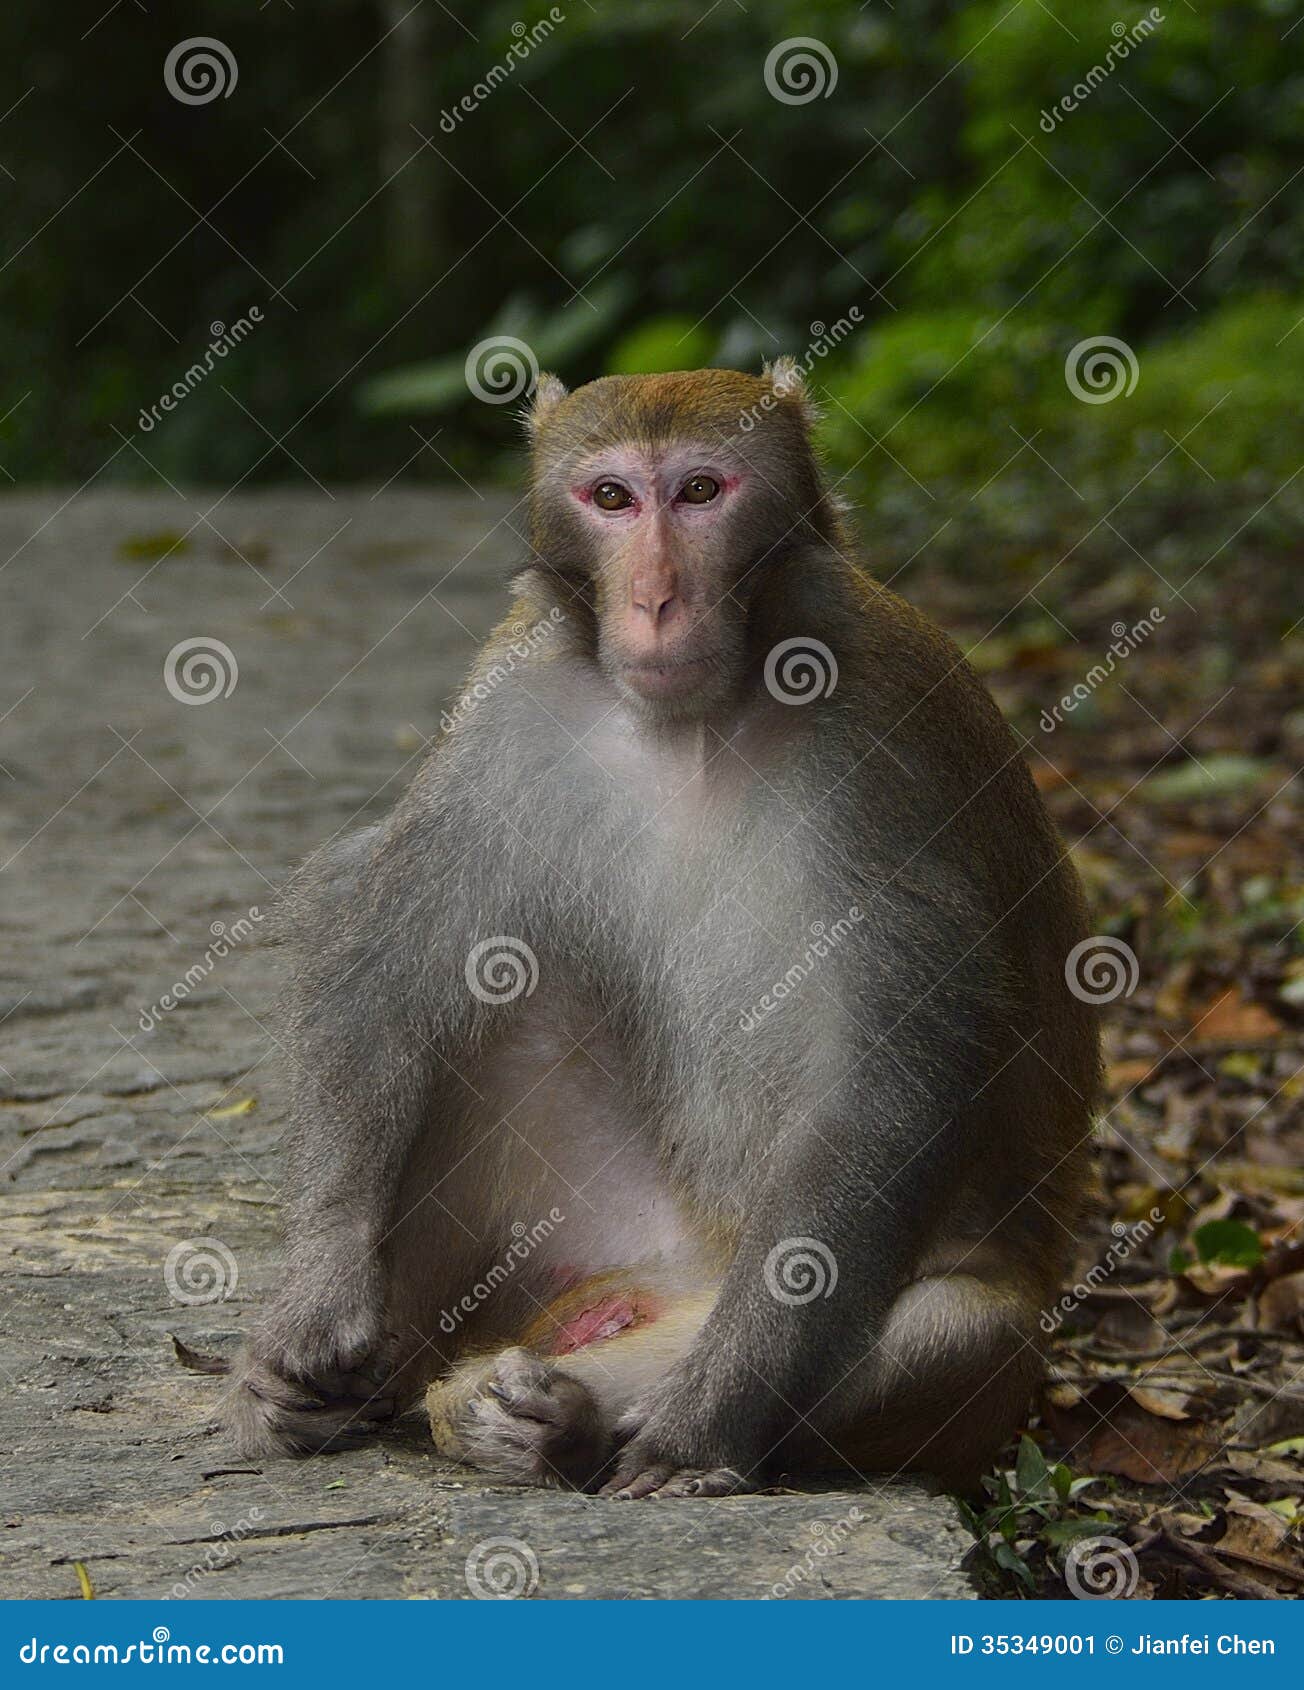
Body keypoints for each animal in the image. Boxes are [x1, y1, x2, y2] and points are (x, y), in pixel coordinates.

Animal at [222, 360, 1099, 1497]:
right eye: (611, 498)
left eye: (699, 493)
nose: (654, 599)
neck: (698, 722)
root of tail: (680, 1280)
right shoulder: (512, 693)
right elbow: (390, 960)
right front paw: (318, 1298)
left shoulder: (879, 743)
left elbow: (883, 1078)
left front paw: (703, 1420)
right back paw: (379, 1399)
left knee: (962, 1327)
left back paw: (561, 1424)